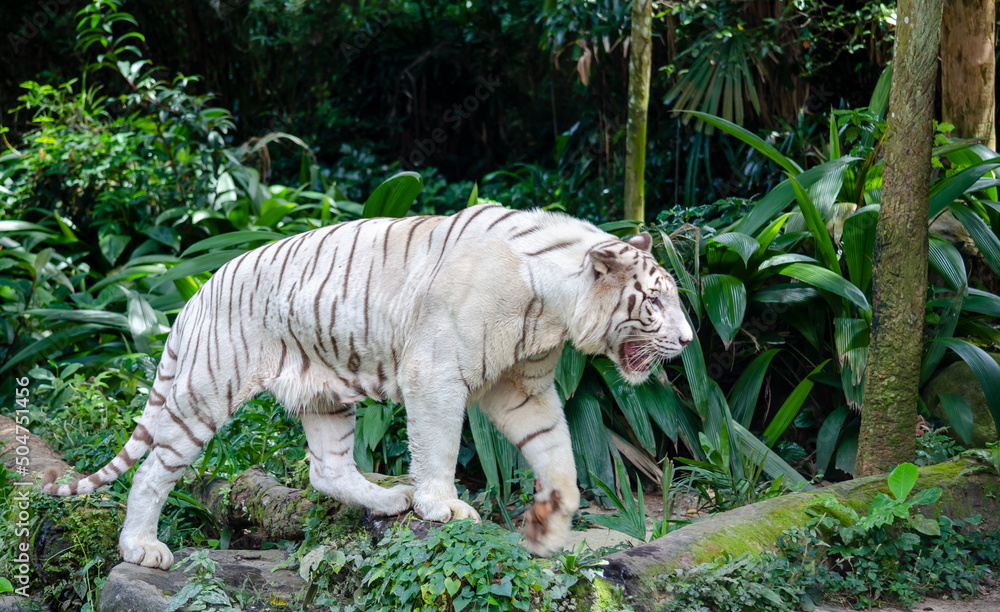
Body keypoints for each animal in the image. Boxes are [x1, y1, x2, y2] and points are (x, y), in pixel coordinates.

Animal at [42, 203, 694, 570]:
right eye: (655, 302)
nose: (689, 340)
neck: (552, 308)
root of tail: (196, 291)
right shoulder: (436, 372)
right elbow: (438, 443)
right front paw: (442, 504)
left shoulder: (523, 389)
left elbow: (558, 454)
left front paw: (550, 524)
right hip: (206, 392)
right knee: (153, 469)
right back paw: (140, 548)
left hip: (324, 393)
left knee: (325, 470)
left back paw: (387, 500)